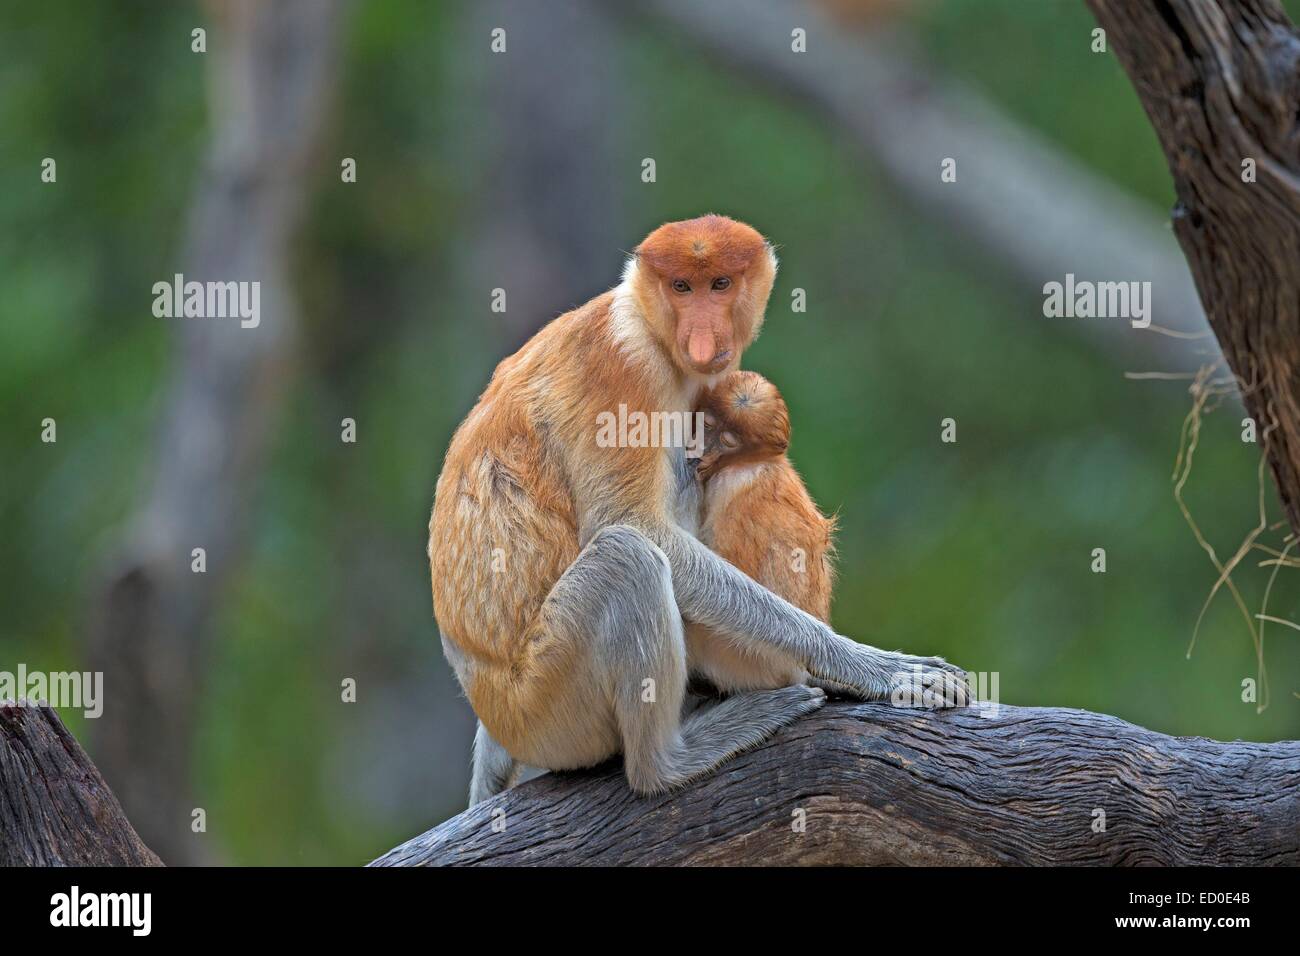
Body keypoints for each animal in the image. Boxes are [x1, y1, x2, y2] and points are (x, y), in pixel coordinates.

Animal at [683, 370, 837, 694]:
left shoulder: (732, 481)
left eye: (727, 442)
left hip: (738, 658)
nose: (700, 451)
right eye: (707, 425)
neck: (753, 460)